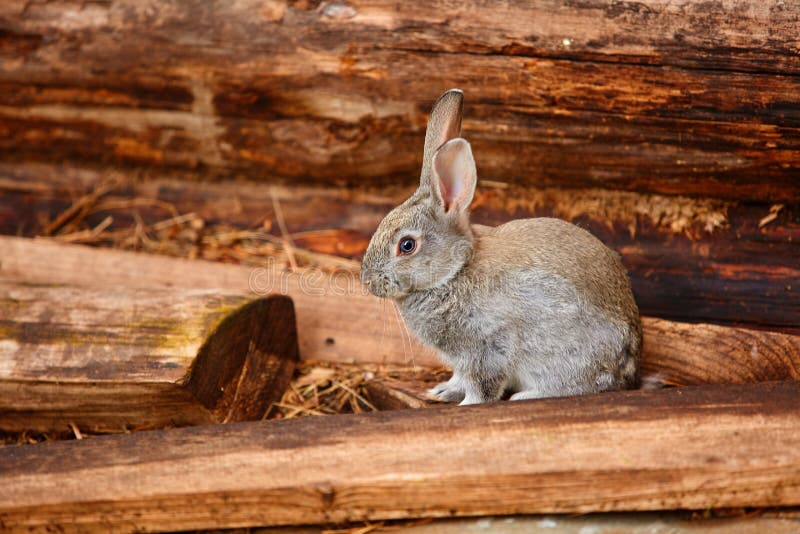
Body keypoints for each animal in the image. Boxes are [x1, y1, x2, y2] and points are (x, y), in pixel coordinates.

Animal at [360, 89, 642, 405]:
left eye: (407, 245)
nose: (367, 282)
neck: (455, 271)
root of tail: (631, 365)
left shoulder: (488, 345)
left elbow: (482, 385)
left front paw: (467, 404)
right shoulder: (463, 360)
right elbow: (460, 377)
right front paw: (443, 391)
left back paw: (527, 396)